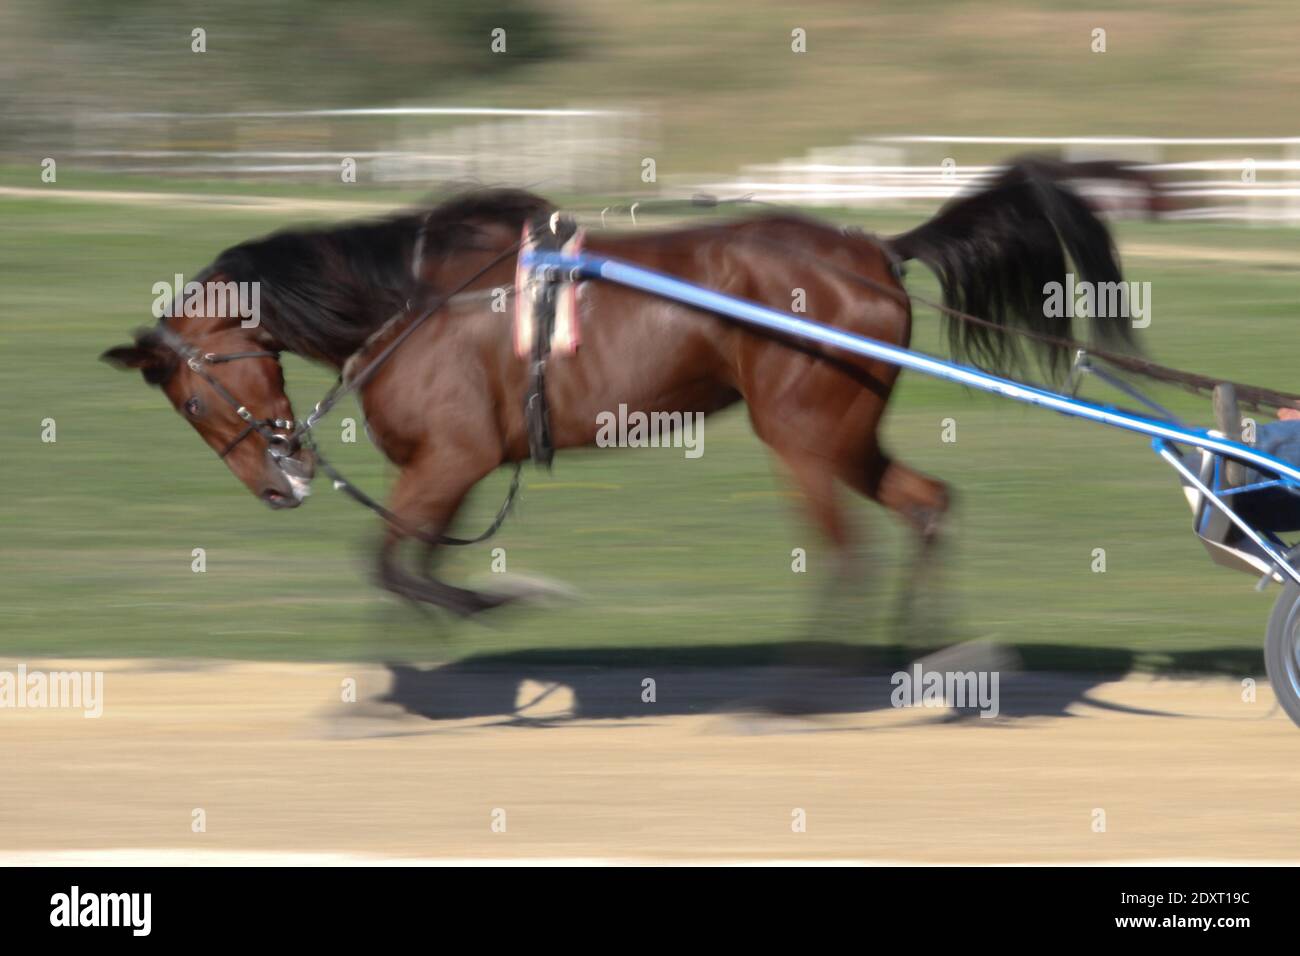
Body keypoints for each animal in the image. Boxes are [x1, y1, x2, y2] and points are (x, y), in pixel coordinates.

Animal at [103, 160, 1135, 617]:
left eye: (190, 401)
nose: (279, 483)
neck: (417, 296)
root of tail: (875, 250)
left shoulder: (450, 459)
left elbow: (395, 567)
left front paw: (498, 605)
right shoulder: (456, 469)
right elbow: (410, 567)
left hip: (808, 437)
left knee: (850, 555)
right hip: (845, 435)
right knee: (927, 507)